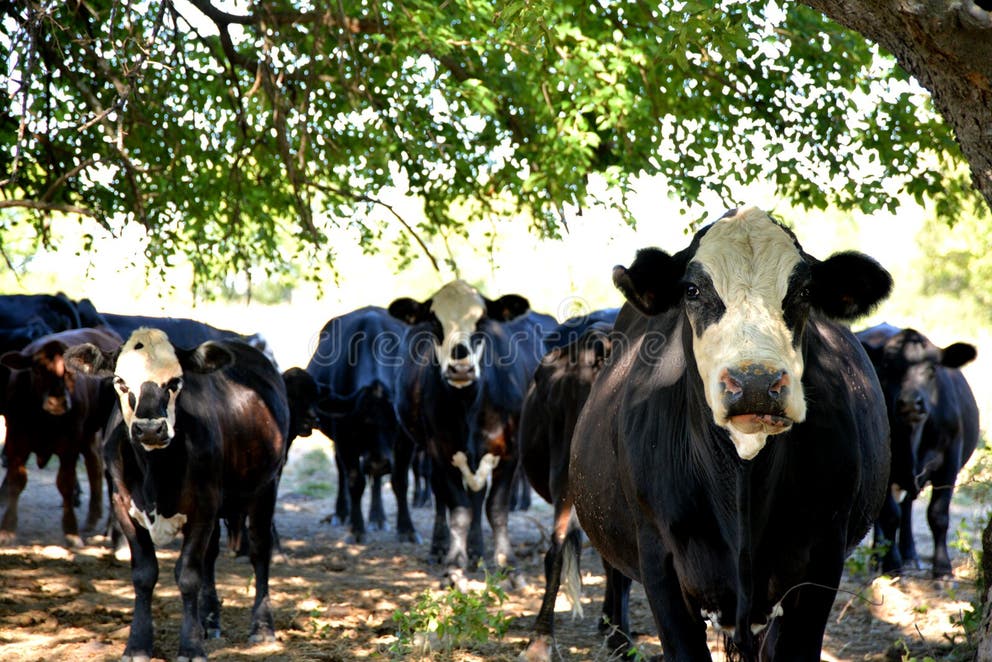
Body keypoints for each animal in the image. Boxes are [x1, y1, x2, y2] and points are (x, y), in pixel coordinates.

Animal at [0, 327, 121, 546]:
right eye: (37, 370)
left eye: (69, 372)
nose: (57, 402)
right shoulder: (15, 440)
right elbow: (17, 481)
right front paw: (7, 529)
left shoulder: (70, 444)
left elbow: (65, 483)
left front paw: (71, 532)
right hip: (89, 435)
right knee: (94, 465)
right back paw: (92, 519)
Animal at [65, 329, 289, 660]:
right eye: (120, 381)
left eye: (175, 382)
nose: (149, 429)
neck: (154, 473)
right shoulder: (123, 505)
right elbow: (144, 575)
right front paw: (138, 644)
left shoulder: (203, 506)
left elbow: (188, 576)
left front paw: (191, 646)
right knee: (211, 555)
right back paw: (209, 620)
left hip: (265, 487)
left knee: (260, 551)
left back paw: (262, 628)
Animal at [305, 306, 417, 543]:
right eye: (359, 423)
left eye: (395, 424)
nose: (378, 463)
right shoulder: (344, 438)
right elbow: (355, 482)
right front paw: (356, 529)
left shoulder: (405, 442)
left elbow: (400, 482)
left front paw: (407, 529)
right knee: (342, 470)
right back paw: (341, 513)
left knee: (376, 480)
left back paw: (378, 517)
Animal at [388, 280, 555, 586]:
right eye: (435, 321)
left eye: (482, 321)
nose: (460, 367)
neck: (469, 404)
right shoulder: (440, 452)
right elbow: (459, 509)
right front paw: (455, 564)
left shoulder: (510, 453)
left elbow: (496, 508)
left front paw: (508, 565)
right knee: (439, 496)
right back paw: (440, 548)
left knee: (479, 497)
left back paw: (478, 551)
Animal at [857, 323, 979, 577]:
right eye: (886, 367)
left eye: (932, 368)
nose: (911, 402)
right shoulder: (885, 467)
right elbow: (889, 516)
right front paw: (891, 564)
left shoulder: (950, 460)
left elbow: (938, 514)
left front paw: (943, 568)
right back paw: (877, 557)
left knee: (907, 506)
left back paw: (910, 555)